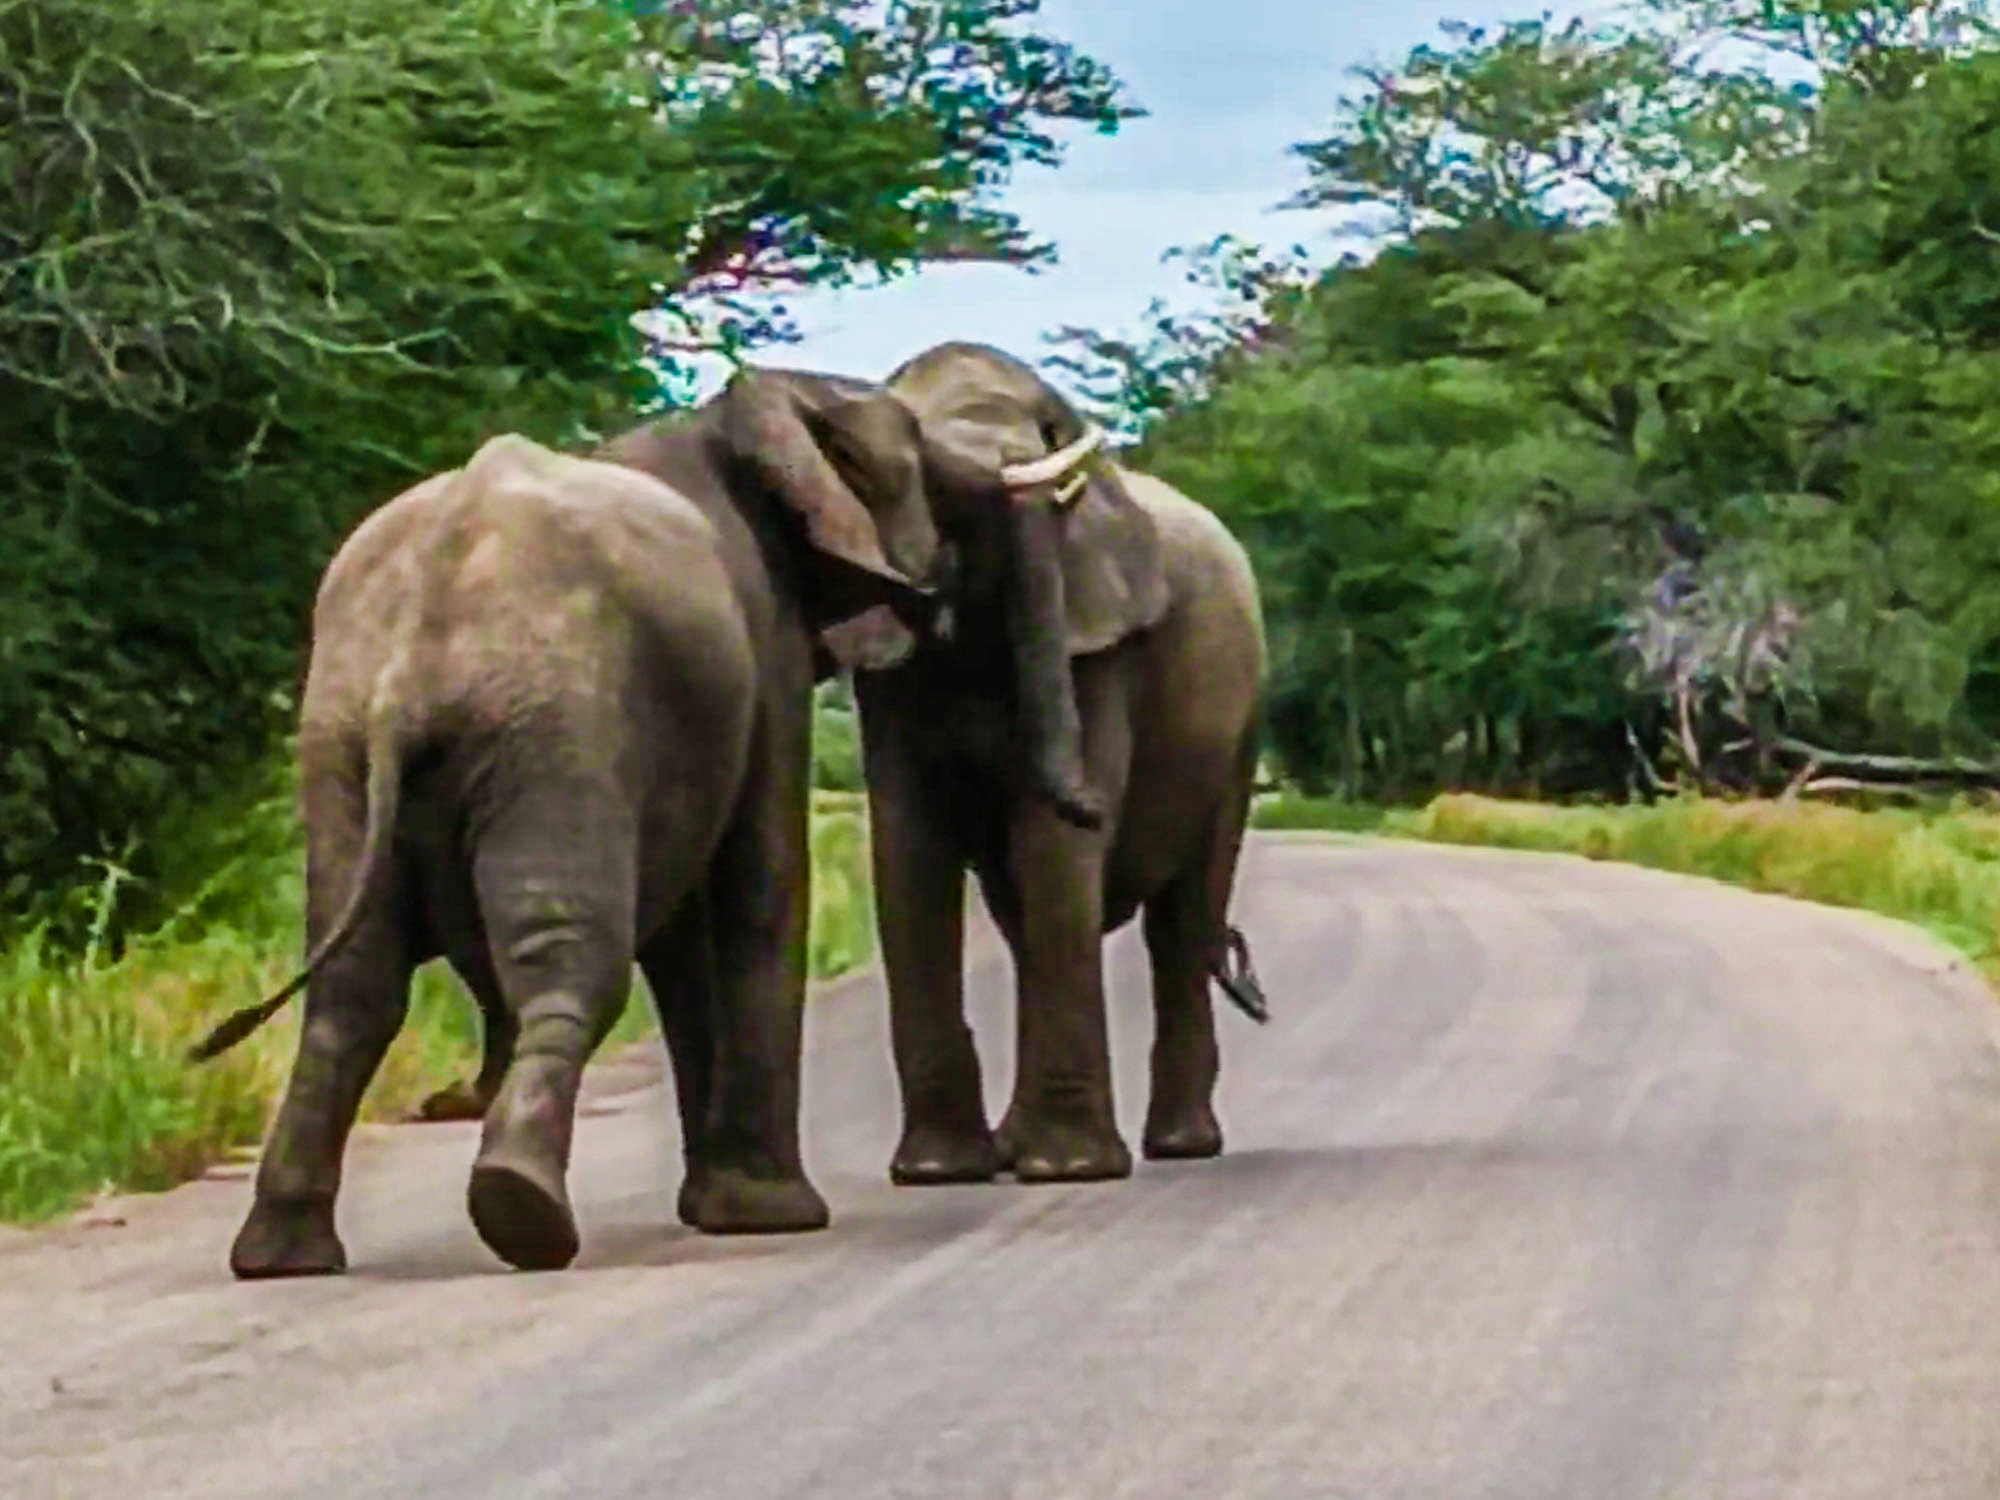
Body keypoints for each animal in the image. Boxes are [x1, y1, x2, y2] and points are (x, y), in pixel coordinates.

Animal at [186, 365, 1091, 1277]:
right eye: (926, 459)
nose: (1084, 809)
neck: (744, 415)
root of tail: (414, 658)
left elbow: (686, 936)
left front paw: (718, 1207)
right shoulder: (765, 645)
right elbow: (761, 884)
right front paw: (772, 1217)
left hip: (340, 735)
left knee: (355, 988)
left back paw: (283, 1256)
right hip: (555, 725)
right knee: (571, 963)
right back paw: (523, 1216)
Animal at [849, 340, 1270, 1186]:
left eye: (1046, 445)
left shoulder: (1101, 650)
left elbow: (1050, 844)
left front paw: (1071, 1172)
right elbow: (909, 847)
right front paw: (938, 1174)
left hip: (1239, 729)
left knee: (1182, 917)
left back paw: (1178, 1146)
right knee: (1025, 920)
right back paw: (1016, 1150)